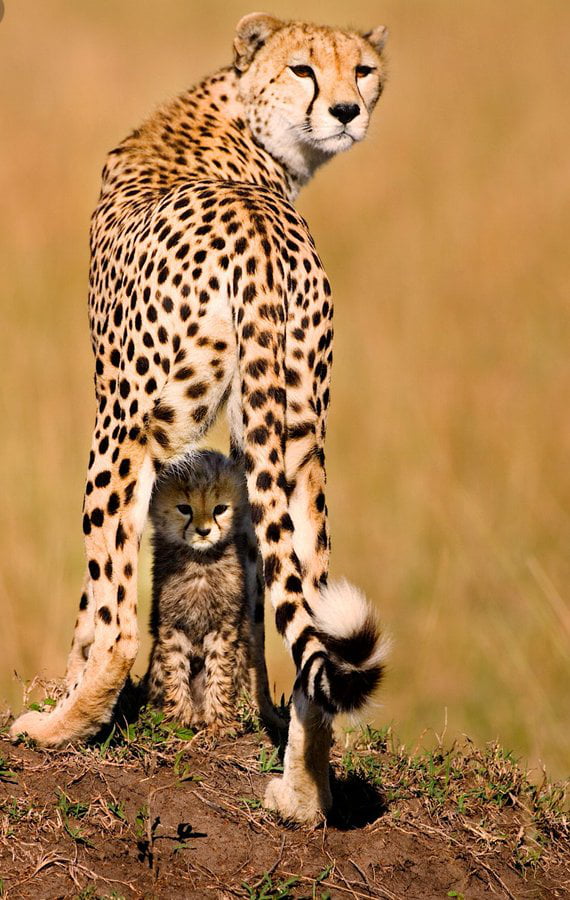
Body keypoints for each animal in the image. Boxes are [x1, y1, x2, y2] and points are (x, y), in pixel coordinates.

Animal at [145, 449, 279, 730]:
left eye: (220, 509)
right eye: (184, 508)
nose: (204, 531)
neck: (200, 563)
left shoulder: (225, 626)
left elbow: (219, 670)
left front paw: (219, 721)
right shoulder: (170, 625)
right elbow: (175, 668)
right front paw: (179, 717)